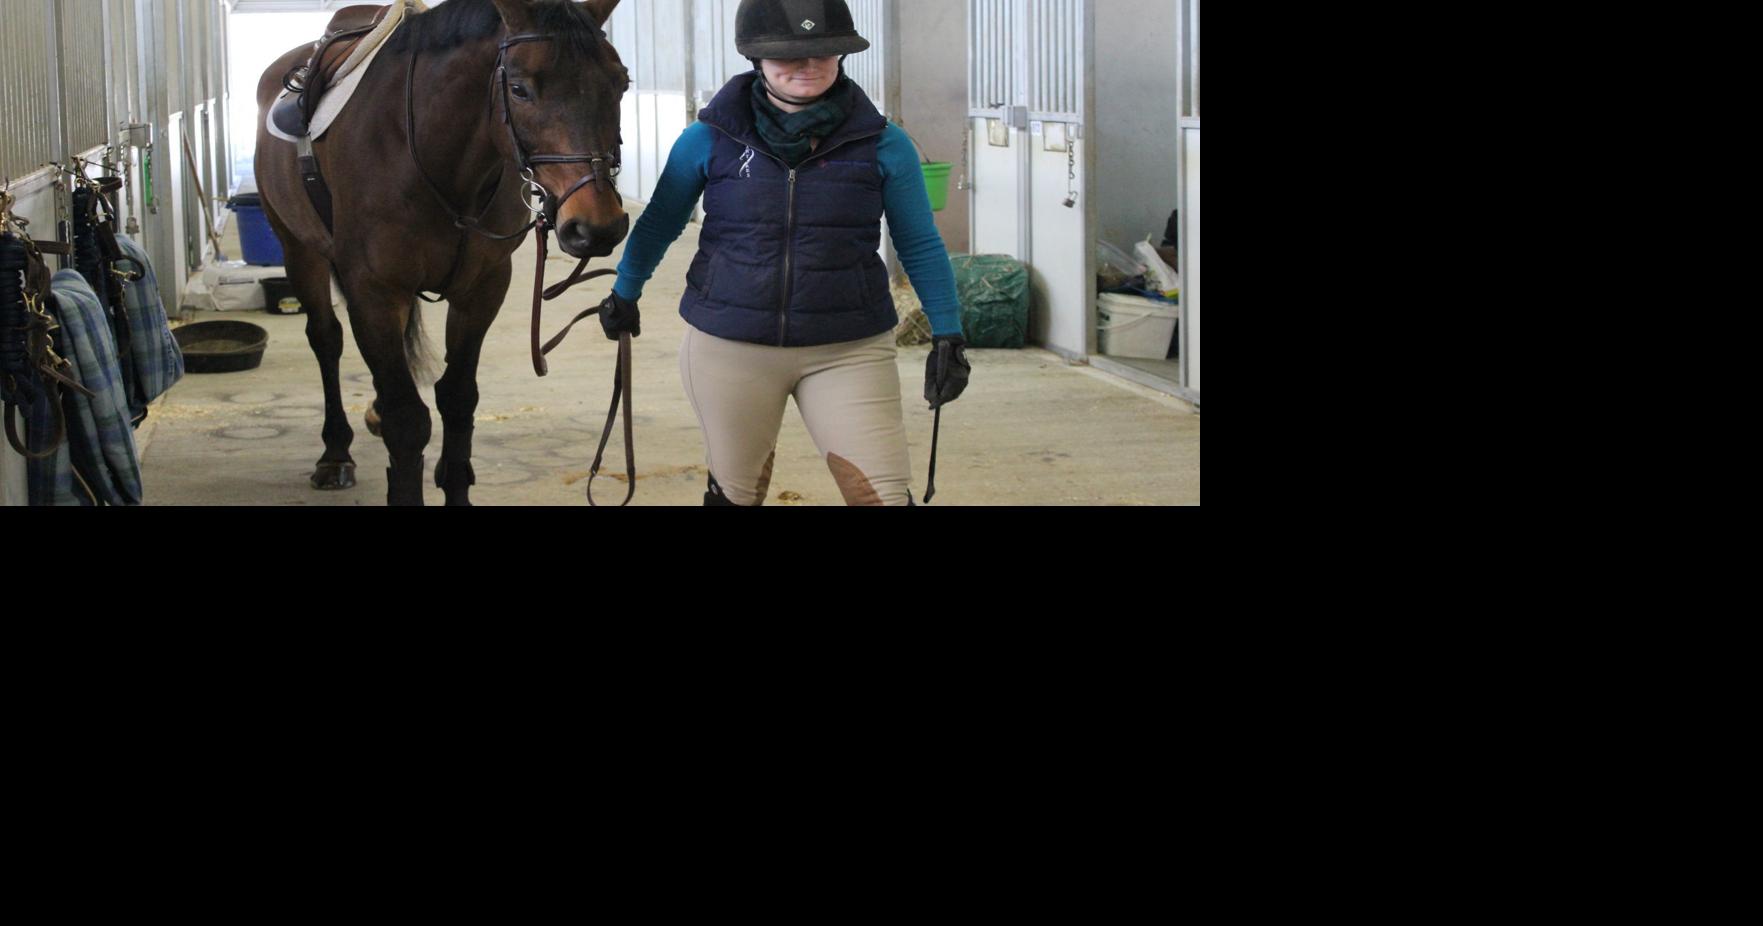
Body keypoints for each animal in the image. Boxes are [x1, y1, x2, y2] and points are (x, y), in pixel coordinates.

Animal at [253, 0, 629, 505]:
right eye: (519, 89)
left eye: (621, 82)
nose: (597, 226)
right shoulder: (375, 292)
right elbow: (408, 420)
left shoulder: (482, 288)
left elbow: (457, 397)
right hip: (298, 250)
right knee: (326, 338)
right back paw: (335, 453)